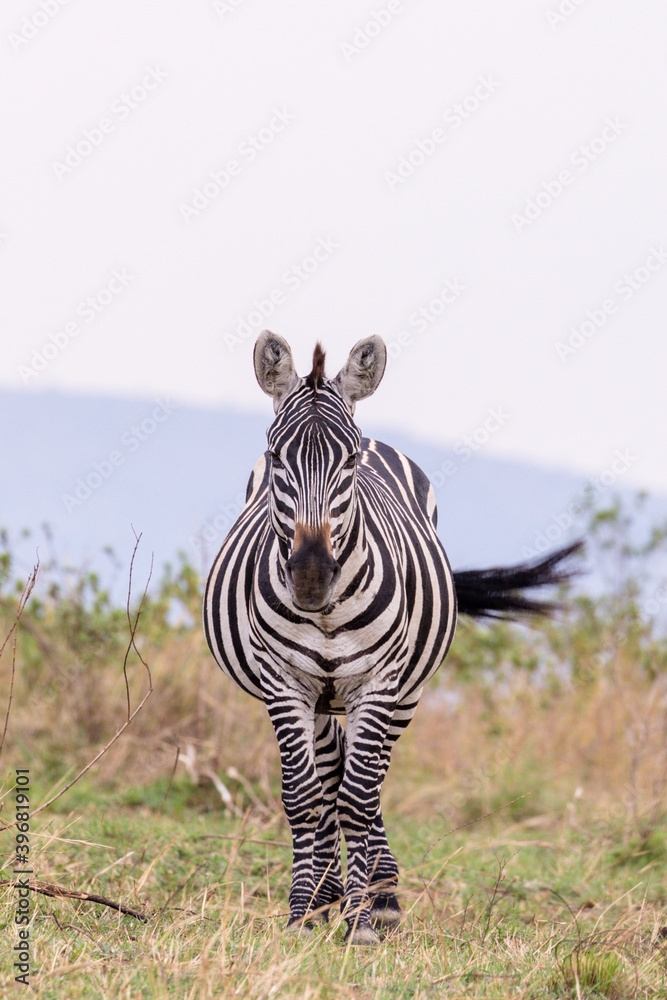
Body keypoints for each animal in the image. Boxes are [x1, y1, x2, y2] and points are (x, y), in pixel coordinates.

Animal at [203, 330, 580, 944]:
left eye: (349, 460)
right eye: (277, 456)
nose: (311, 576)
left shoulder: (379, 683)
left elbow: (359, 796)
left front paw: (362, 922)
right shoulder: (284, 685)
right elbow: (305, 797)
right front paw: (304, 914)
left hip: (405, 692)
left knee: (369, 778)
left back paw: (379, 895)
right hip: (320, 696)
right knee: (331, 775)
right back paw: (330, 894)